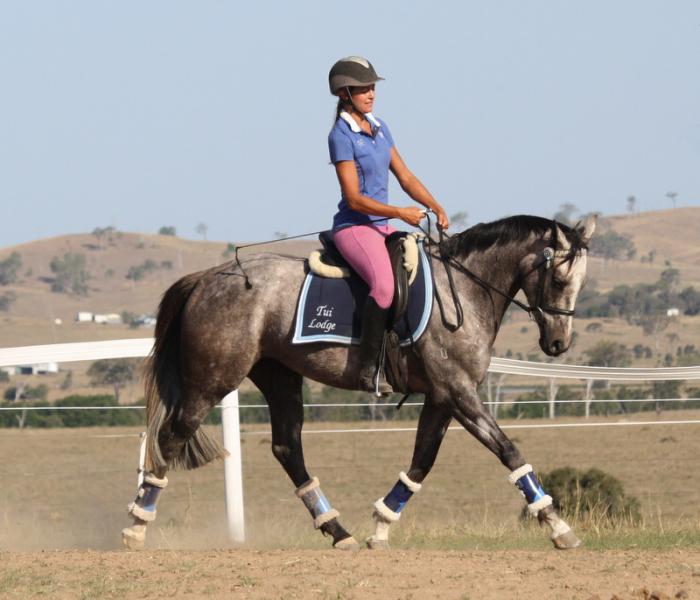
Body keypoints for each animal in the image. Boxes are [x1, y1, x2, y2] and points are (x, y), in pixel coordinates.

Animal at [121, 213, 596, 551]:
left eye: (580, 283)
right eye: (558, 279)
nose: (558, 343)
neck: (461, 289)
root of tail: (207, 277)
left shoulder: (443, 398)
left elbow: (421, 463)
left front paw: (382, 527)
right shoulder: (460, 393)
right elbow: (509, 452)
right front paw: (558, 526)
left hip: (279, 376)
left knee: (287, 447)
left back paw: (338, 530)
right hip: (213, 380)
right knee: (171, 437)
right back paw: (137, 526)